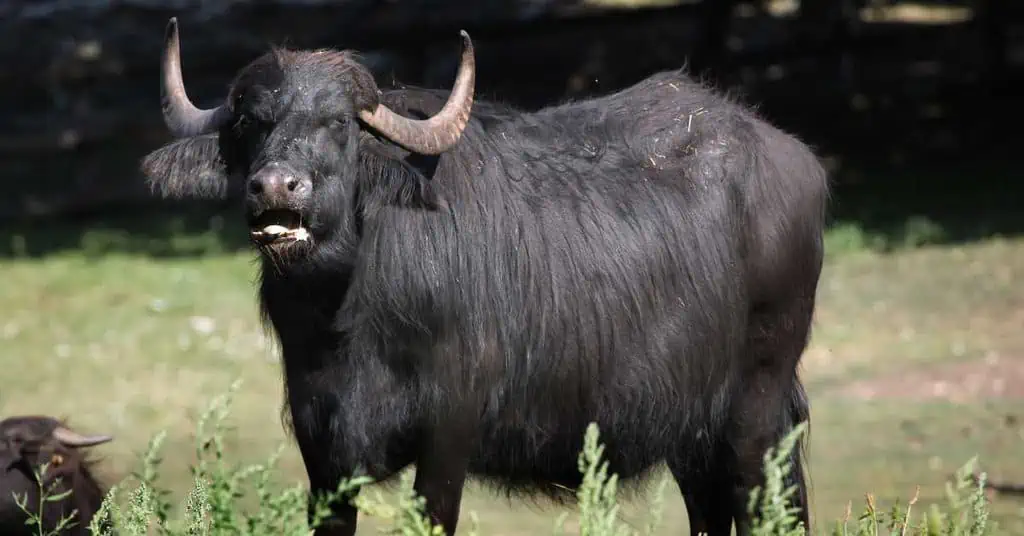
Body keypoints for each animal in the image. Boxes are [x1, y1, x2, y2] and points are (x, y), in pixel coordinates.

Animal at [140, 17, 828, 536]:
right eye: (250, 122)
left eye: (337, 122)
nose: (276, 187)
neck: (346, 315)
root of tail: (798, 161)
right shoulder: (321, 441)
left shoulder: (449, 429)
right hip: (692, 430)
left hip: (755, 408)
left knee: (762, 503)